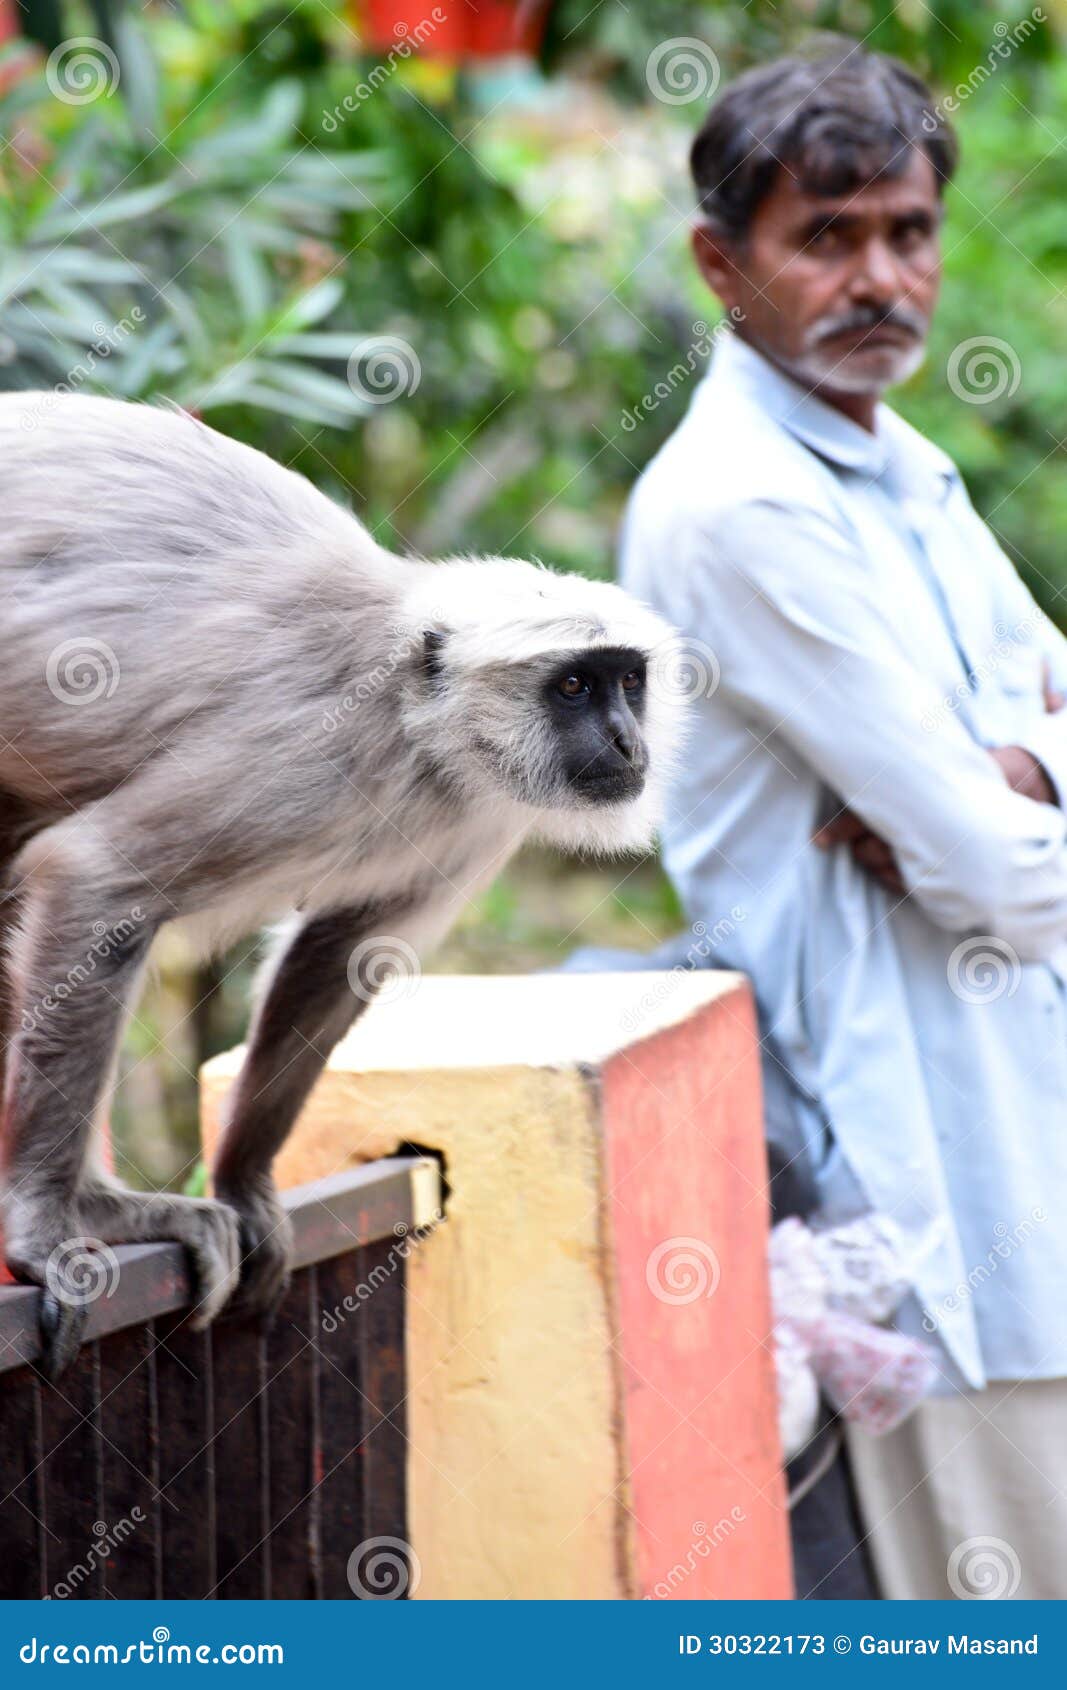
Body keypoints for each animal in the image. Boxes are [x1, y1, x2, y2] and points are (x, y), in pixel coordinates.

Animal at [0, 391, 687, 1377]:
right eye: (572, 687)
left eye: (627, 682)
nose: (630, 743)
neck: (413, 718)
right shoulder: (308, 750)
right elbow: (97, 876)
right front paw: (43, 1233)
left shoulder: (477, 815)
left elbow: (341, 952)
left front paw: (245, 1184)